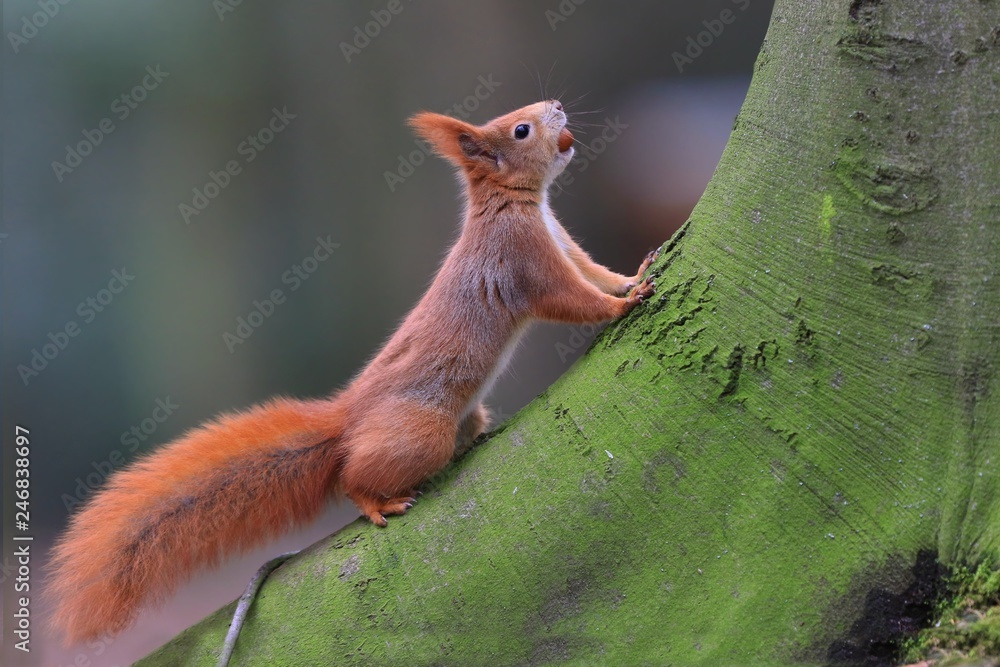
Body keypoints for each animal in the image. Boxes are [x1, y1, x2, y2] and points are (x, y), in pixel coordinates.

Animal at [48, 99, 657, 644]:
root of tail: (348, 420)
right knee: (351, 475)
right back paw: (376, 501)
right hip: (419, 435)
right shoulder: (524, 260)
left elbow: (594, 273)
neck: (515, 204)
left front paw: (634, 275)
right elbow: (571, 299)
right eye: (521, 129)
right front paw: (625, 305)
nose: (557, 105)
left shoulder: (562, 245)